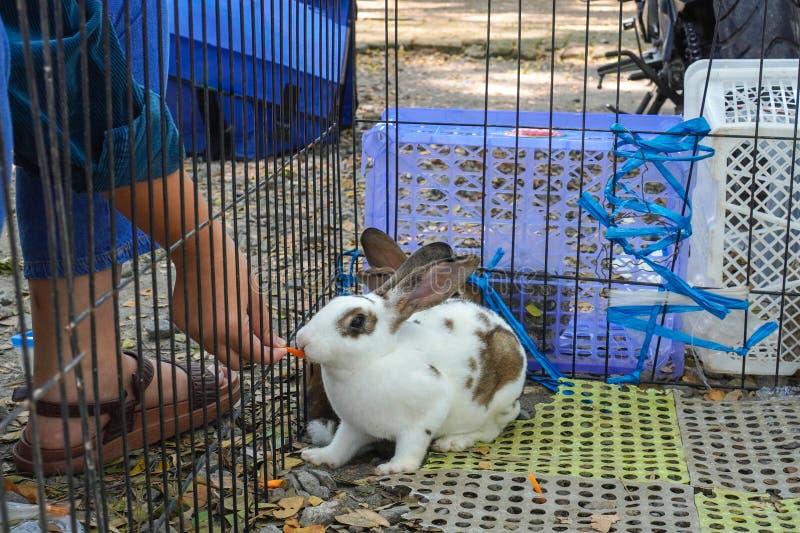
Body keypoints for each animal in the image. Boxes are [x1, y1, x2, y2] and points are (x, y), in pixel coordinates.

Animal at [296, 244, 527, 474]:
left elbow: (412, 446)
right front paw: (318, 457)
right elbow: (341, 445)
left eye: (357, 321)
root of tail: (507, 329)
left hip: (499, 402)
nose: (301, 339)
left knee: (490, 430)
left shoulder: (425, 415)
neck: (374, 359)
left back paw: (452, 442)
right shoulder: (352, 425)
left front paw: (394, 467)